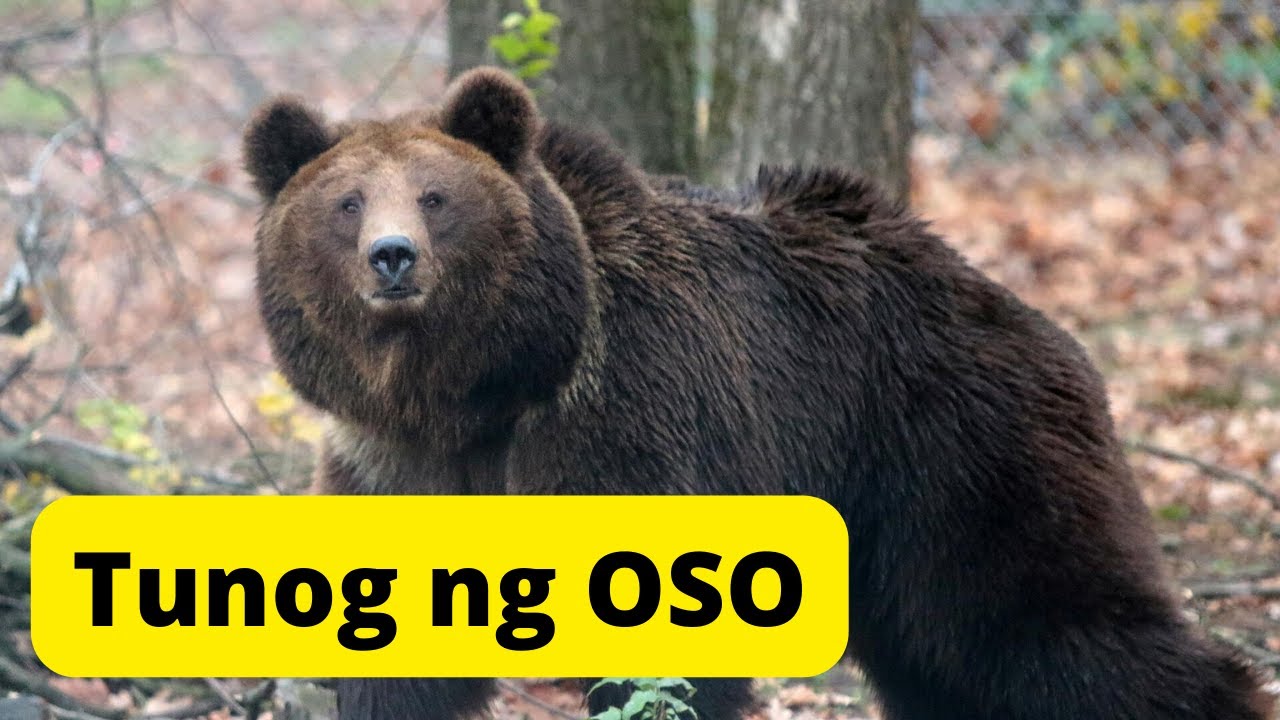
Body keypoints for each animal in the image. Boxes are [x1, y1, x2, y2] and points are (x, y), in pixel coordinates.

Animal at [242, 67, 1275, 720]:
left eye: (436, 197)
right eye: (346, 202)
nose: (392, 257)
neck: (472, 394)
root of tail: (1018, 307)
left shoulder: (624, 420)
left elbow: (664, 644)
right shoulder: (393, 464)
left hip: (958, 452)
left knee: (1047, 621)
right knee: (948, 666)